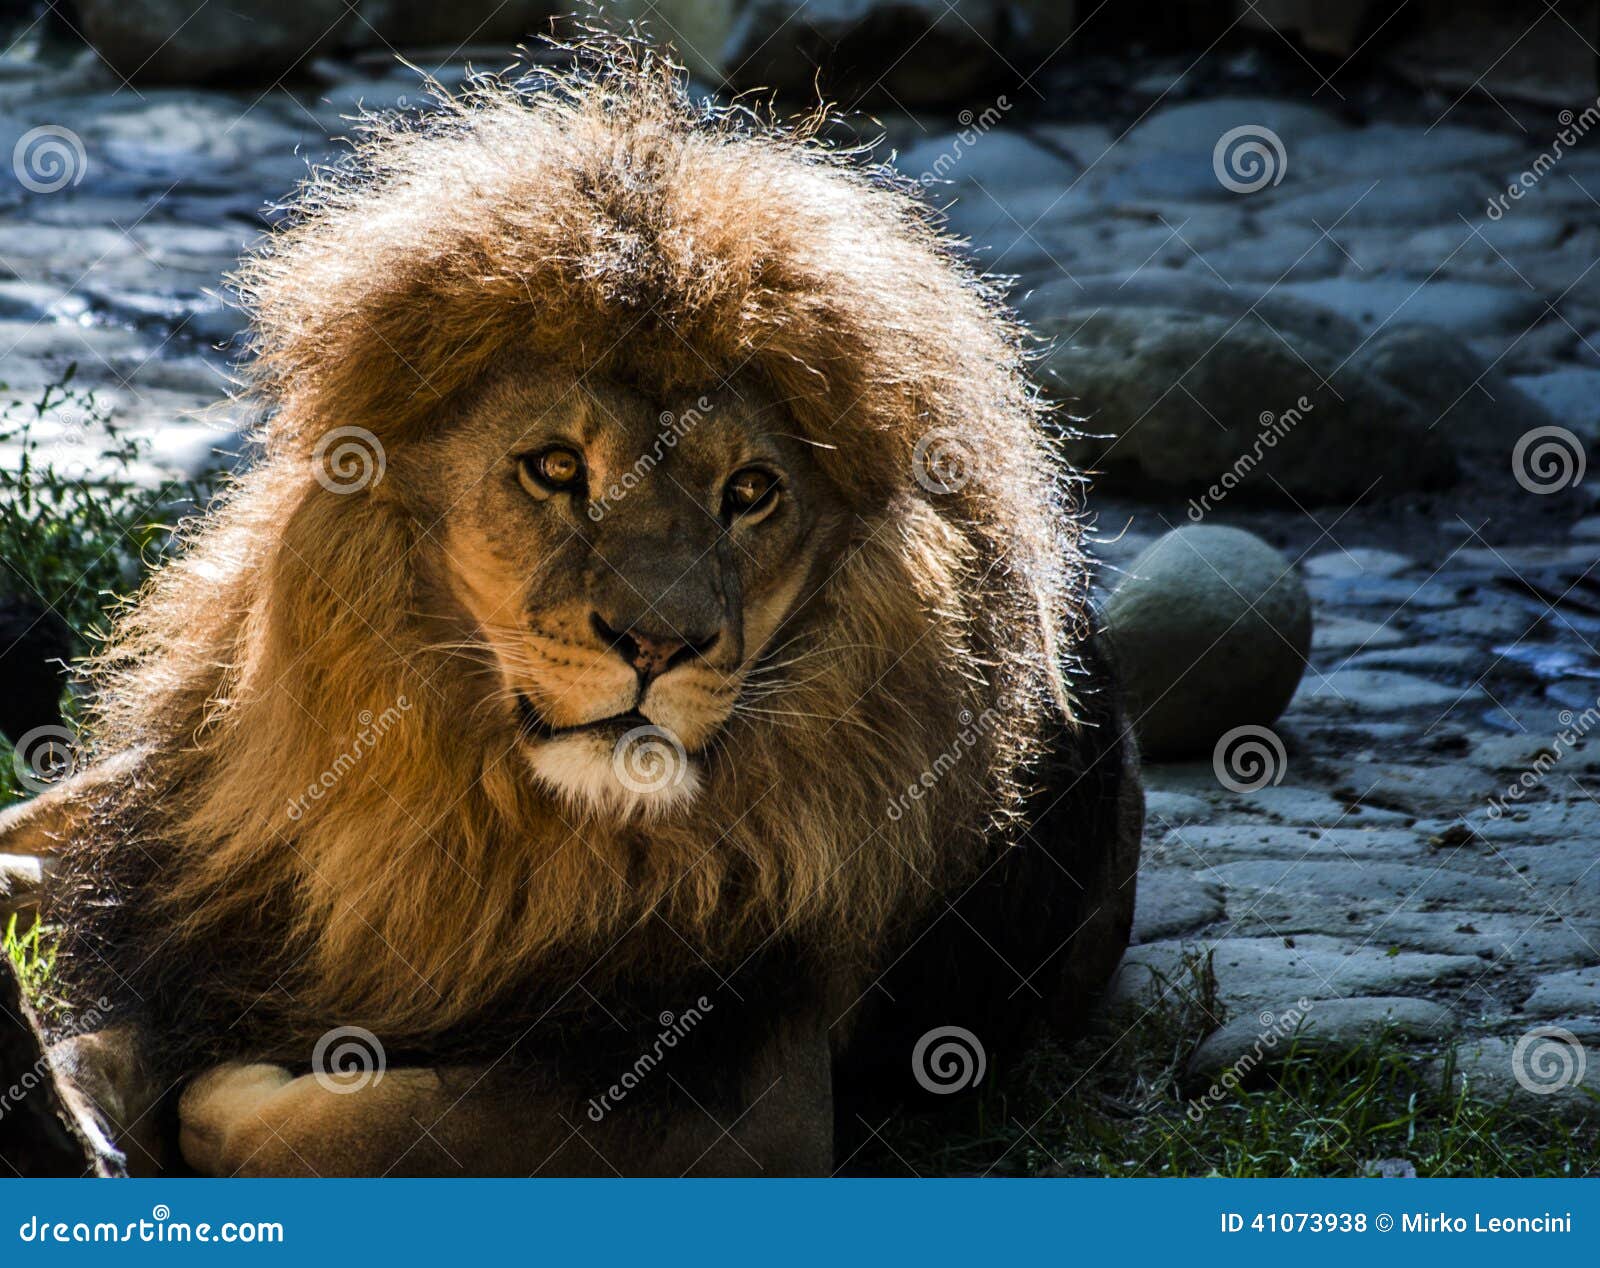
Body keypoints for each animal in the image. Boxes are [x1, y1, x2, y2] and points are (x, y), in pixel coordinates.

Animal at [0, 46, 1141, 1177]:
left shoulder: (760, 1096)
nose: (657, 642)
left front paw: (222, 1083)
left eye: (751, 492)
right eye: (555, 468)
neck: (491, 811)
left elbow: (364, 1125)